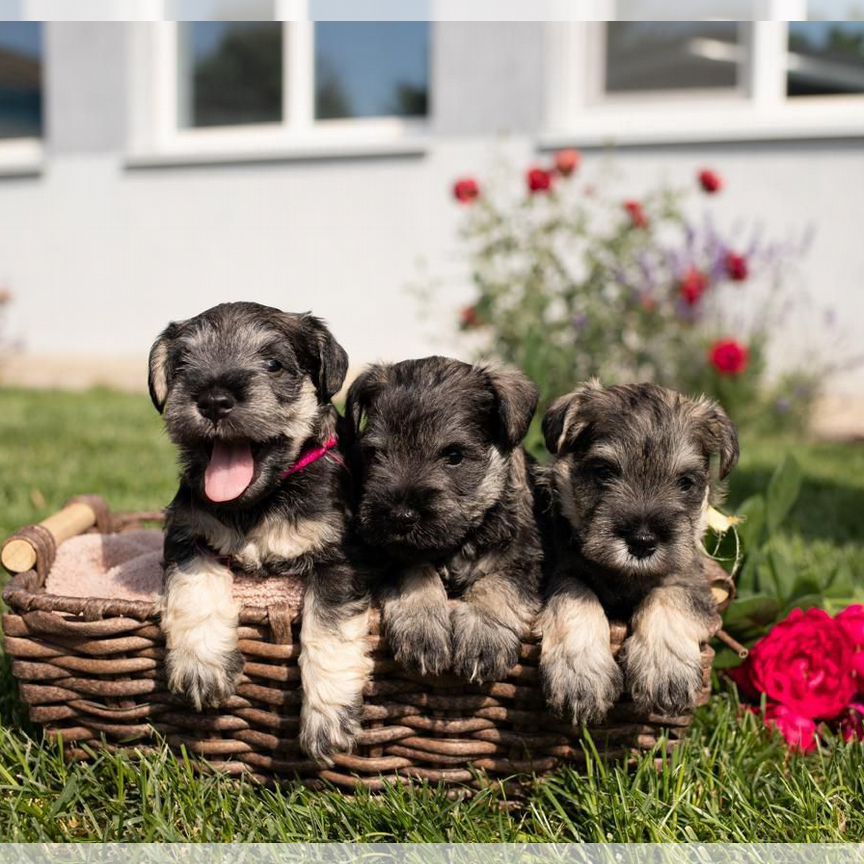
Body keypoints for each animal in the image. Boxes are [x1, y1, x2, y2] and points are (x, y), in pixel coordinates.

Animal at [148, 304, 372, 764]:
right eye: (182, 364)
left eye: (273, 364)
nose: (214, 400)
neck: (258, 502)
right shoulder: (187, 532)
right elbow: (194, 584)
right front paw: (202, 666)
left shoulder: (341, 558)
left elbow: (329, 629)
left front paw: (328, 719)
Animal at [344, 356, 540, 680]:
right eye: (374, 453)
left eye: (455, 456)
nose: (401, 516)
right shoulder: (387, 555)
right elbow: (415, 571)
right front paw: (421, 629)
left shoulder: (525, 560)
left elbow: (498, 584)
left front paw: (484, 637)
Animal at [540, 382, 736, 720]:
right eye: (603, 472)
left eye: (686, 482)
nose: (642, 541)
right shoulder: (562, 572)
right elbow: (576, 597)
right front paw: (580, 675)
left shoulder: (688, 578)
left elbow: (669, 598)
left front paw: (665, 670)